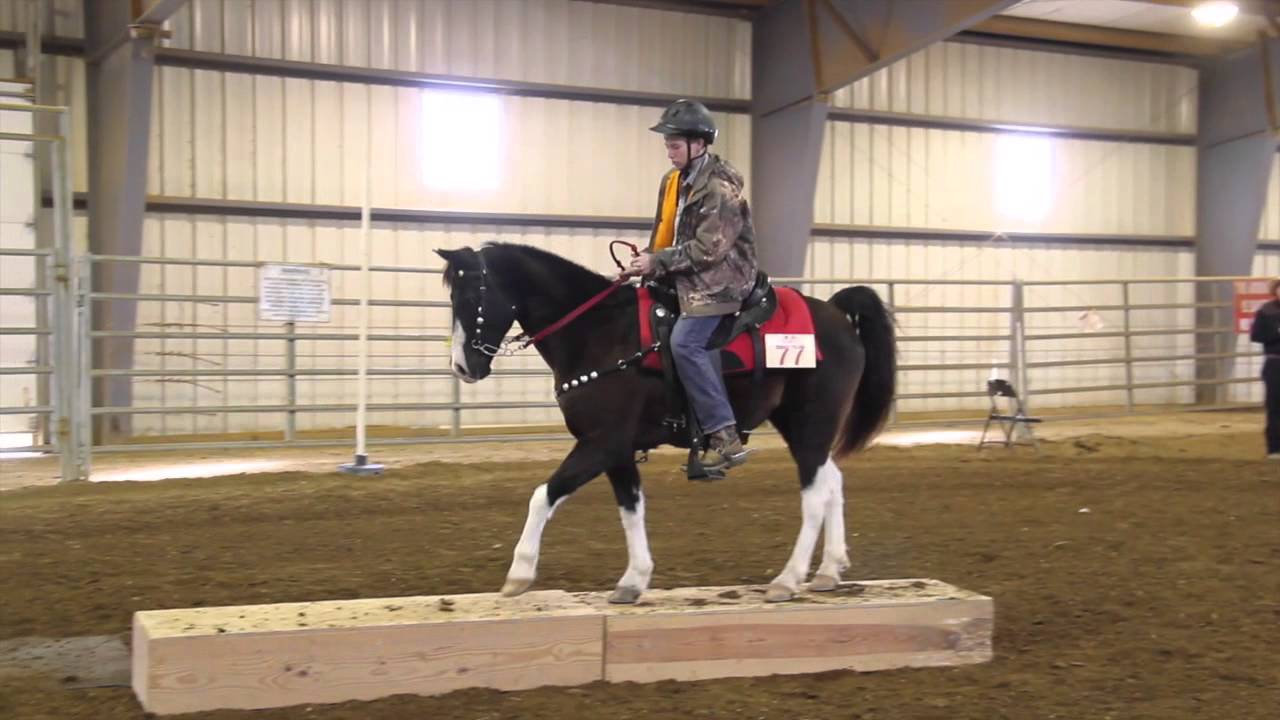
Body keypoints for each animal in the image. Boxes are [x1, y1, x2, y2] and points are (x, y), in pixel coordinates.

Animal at [436, 242, 896, 603]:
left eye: (471, 298)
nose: (462, 367)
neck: (598, 333)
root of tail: (835, 313)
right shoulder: (617, 450)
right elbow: (630, 508)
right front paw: (633, 580)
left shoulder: (601, 442)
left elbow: (543, 495)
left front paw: (519, 574)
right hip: (802, 428)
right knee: (832, 481)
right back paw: (828, 570)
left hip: (810, 424)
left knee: (815, 495)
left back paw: (788, 579)